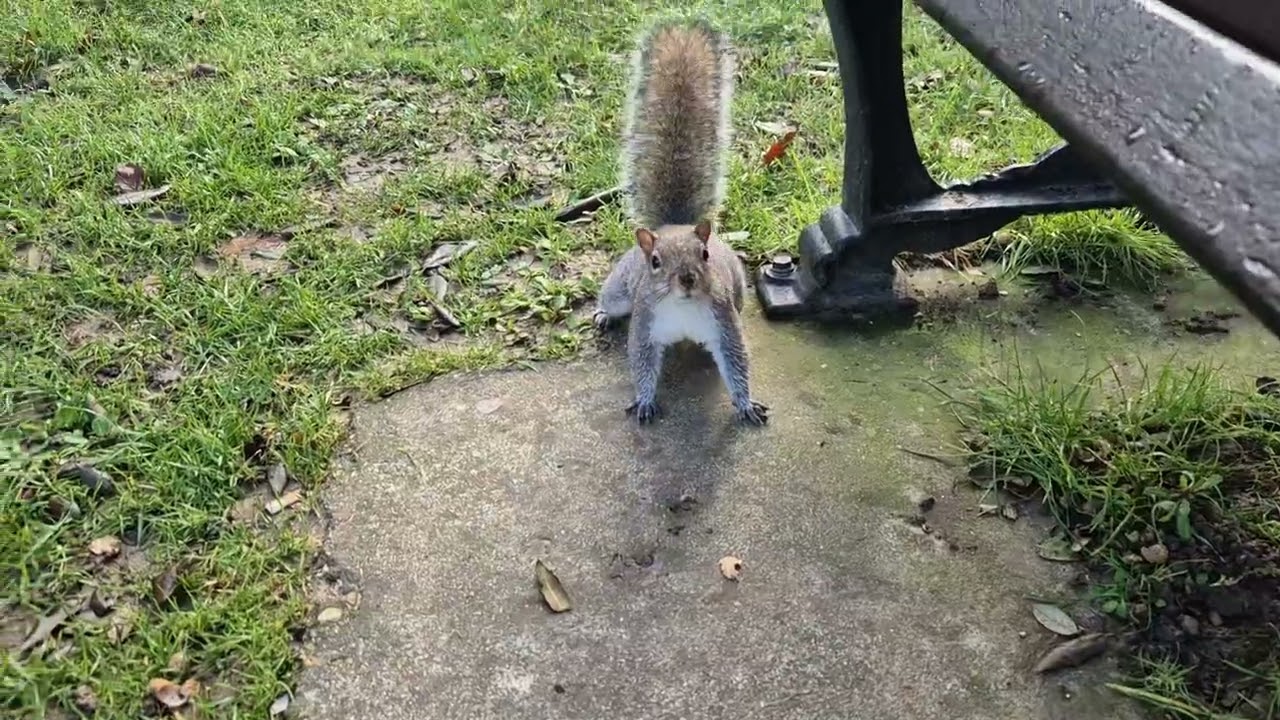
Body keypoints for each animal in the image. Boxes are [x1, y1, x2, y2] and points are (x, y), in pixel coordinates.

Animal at [593, 19, 768, 427]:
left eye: (704, 254)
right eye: (655, 262)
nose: (686, 279)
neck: (683, 307)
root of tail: (673, 224)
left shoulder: (723, 321)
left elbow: (736, 361)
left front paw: (746, 404)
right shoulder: (644, 324)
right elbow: (641, 363)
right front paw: (644, 400)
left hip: (738, 293)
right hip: (621, 290)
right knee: (611, 300)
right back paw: (603, 314)